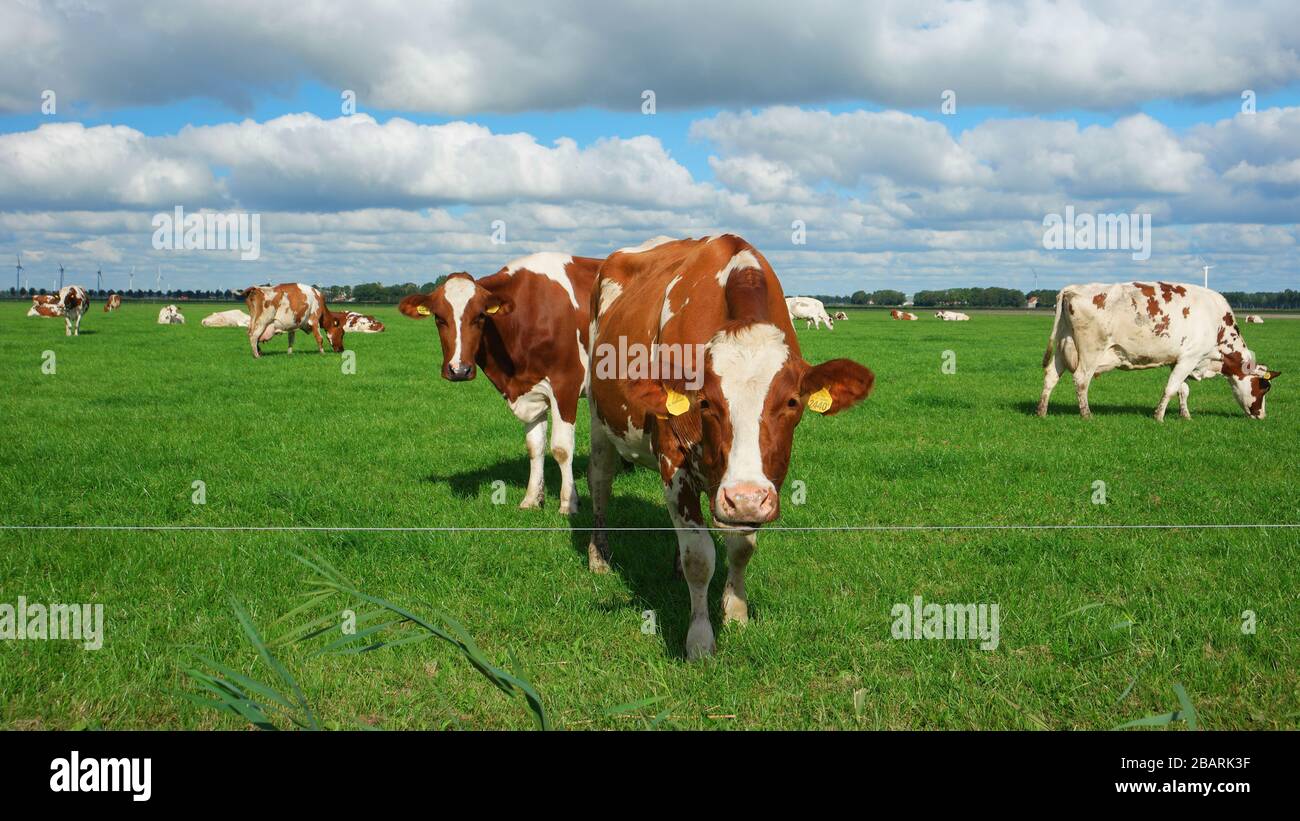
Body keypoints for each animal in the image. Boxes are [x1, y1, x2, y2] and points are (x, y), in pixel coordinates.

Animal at [399, 253, 600, 513]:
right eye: (439, 319)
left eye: (480, 317)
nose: (459, 370)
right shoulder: (529, 391)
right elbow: (535, 447)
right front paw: (531, 499)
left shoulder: (566, 384)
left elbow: (561, 448)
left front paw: (569, 504)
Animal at [586, 235, 874, 658]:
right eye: (705, 402)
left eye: (792, 402)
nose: (744, 499)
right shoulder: (672, 453)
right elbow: (699, 556)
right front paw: (700, 638)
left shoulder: (766, 477)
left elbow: (741, 547)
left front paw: (736, 613)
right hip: (598, 419)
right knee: (600, 482)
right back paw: (598, 556)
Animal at [1038, 282, 1280, 421]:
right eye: (1264, 387)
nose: (1262, 415)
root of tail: (1072, 288)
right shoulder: (1190, 357)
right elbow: (1171, 388)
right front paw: (1159, 417)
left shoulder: (1179, 360)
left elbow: (1183, 390)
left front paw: (1185, 415)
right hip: (1090, 351)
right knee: (1081, 380)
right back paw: (1087, 415)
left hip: (1062, 347)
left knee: (1050, 377)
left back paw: (1041, 411)